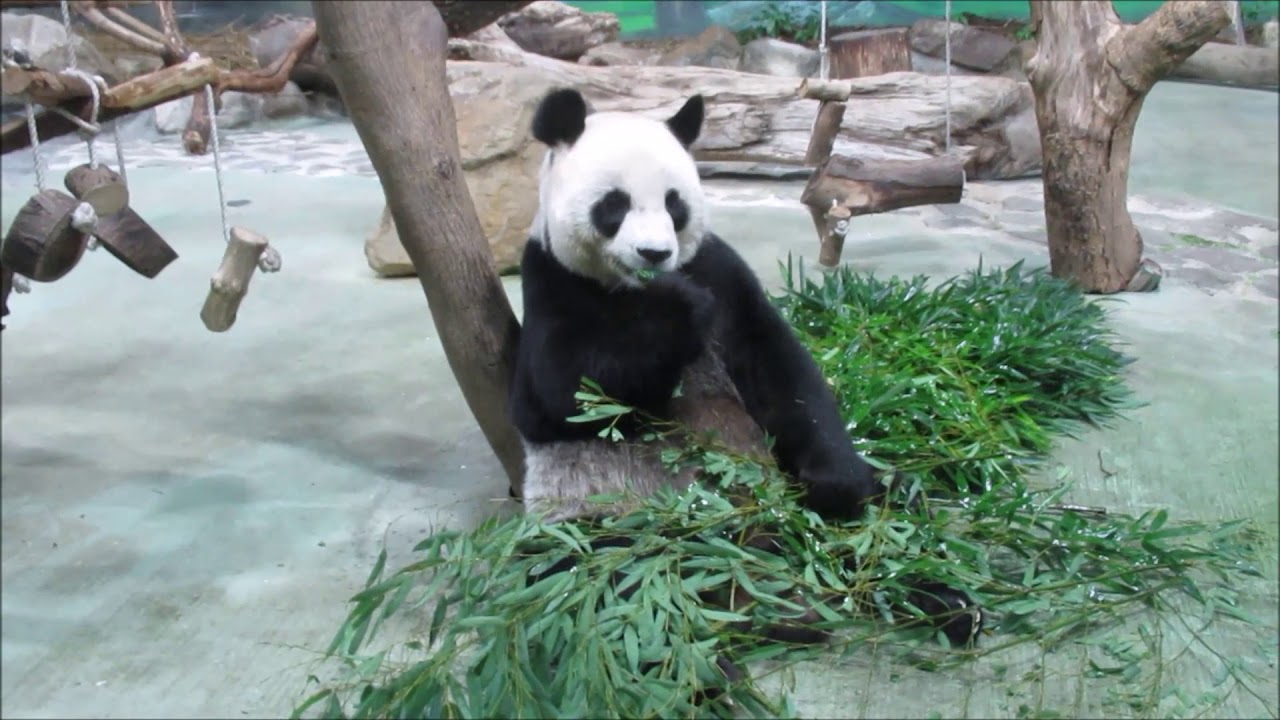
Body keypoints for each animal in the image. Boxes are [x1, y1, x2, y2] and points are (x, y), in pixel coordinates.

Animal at [508, 87, 982, 657]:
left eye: (674, 203)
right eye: (613, 205)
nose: (655, 253)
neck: (632, 286)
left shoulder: (718, 268)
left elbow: (778, 366)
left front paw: (835, 485)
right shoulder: (551, 282)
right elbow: (559, 398)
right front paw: (676, 310)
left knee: (891, 514)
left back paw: (944, 601)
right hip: (599, 516)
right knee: (603, 581)